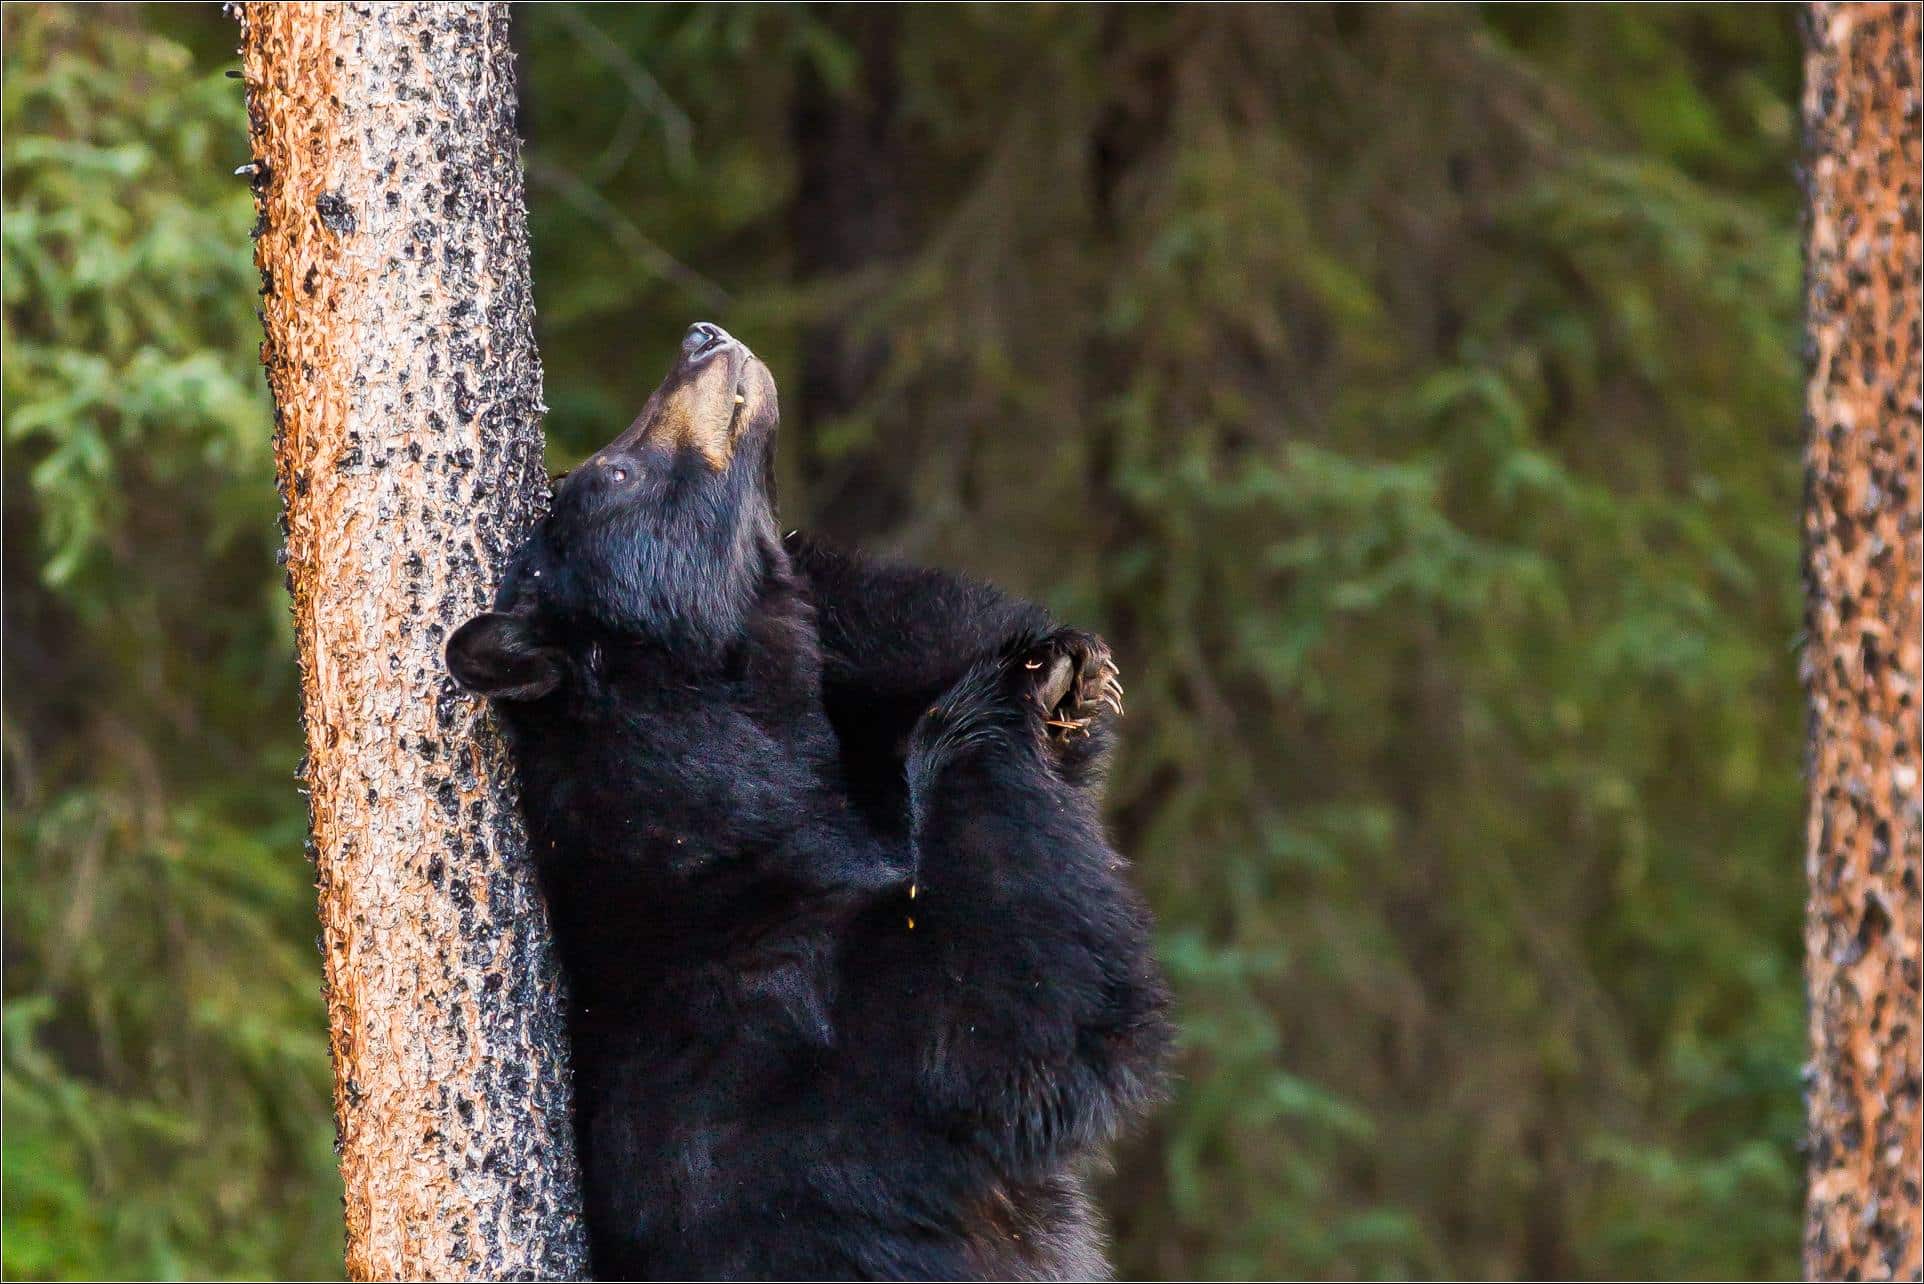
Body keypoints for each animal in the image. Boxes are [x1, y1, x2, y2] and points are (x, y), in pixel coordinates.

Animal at [446, 322, 1170, 1280]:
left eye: (586, 472)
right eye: (616, 474)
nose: (700, 337)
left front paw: (1061, 668)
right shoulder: (796, 998)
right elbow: (1007, 1016)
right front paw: (1004, 694)